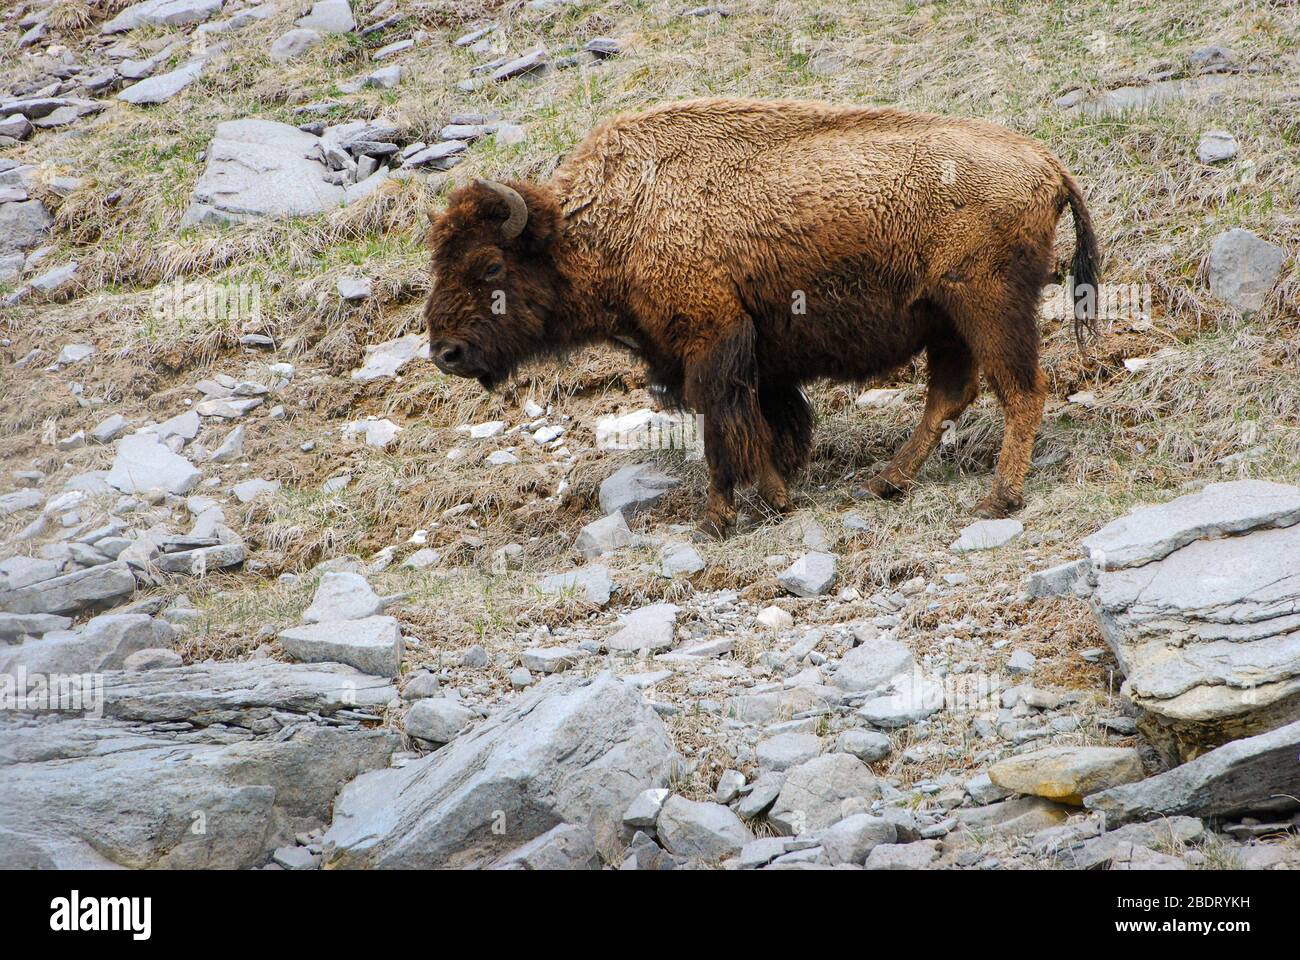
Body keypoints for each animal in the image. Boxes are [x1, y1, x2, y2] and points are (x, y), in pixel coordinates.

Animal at [424, 98, 1099, 538]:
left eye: (489, 265)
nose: (444, 352)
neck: (607, 220)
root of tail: (1047, 163)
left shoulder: (711, 338)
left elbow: (723, 426)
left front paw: (724, 517)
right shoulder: (752, 359)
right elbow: (762, 425)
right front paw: (776, 496)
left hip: (987, 307)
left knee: (1021, 389)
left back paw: (997, 499)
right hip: (945, 323)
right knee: (950, 396)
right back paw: (885, 483)